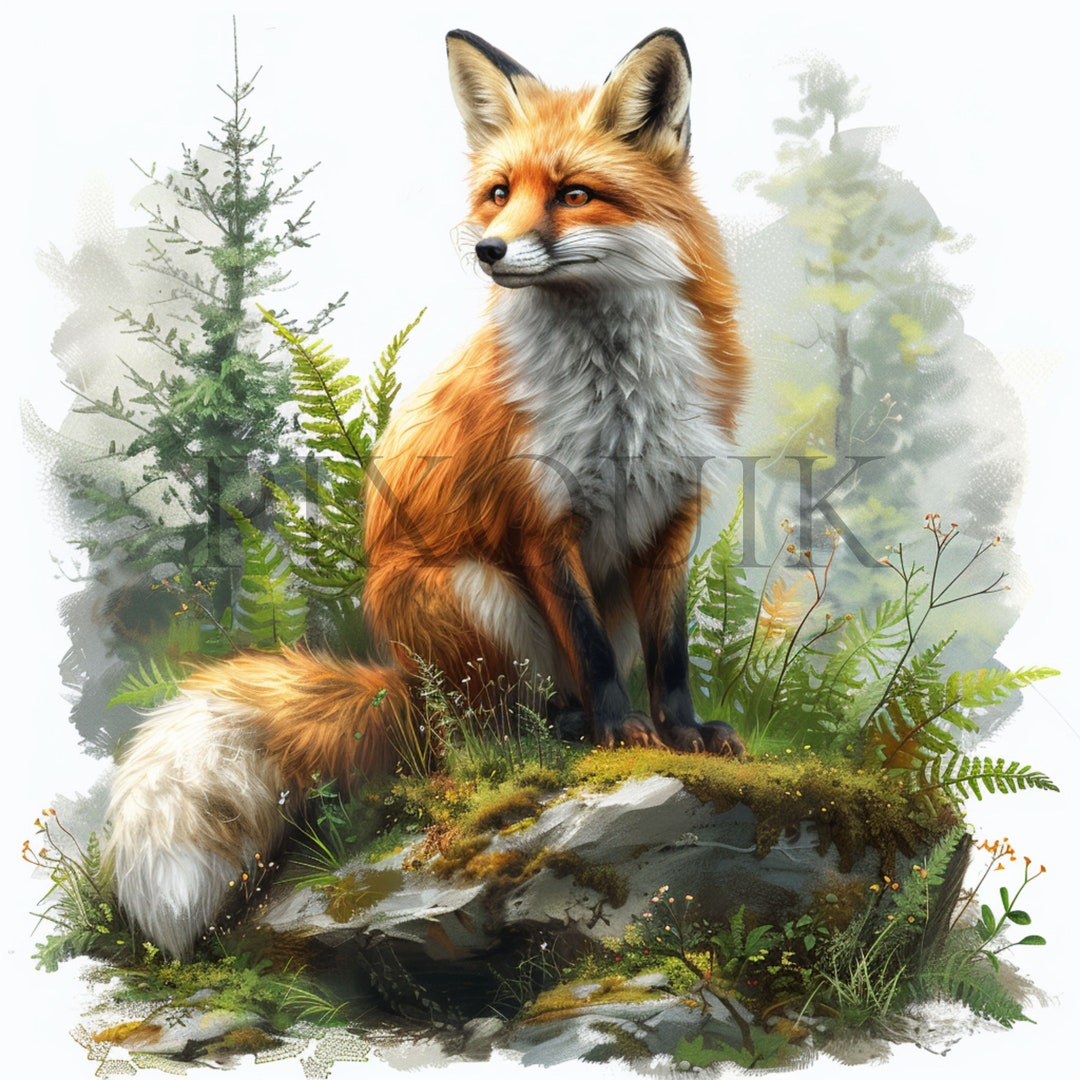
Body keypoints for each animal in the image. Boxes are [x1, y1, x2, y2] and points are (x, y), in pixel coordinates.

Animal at [104, 28, 748, 959]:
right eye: (499, 194)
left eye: (575, 195)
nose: (488, 251)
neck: (617, 390)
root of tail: (398, 683)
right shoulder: (538, 524)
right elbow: (594, 650)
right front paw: (620, 734)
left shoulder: (673, 514)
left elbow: (671, 654)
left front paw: (684, 736)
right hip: (469, 591)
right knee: (479, 741)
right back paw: (555, 732)